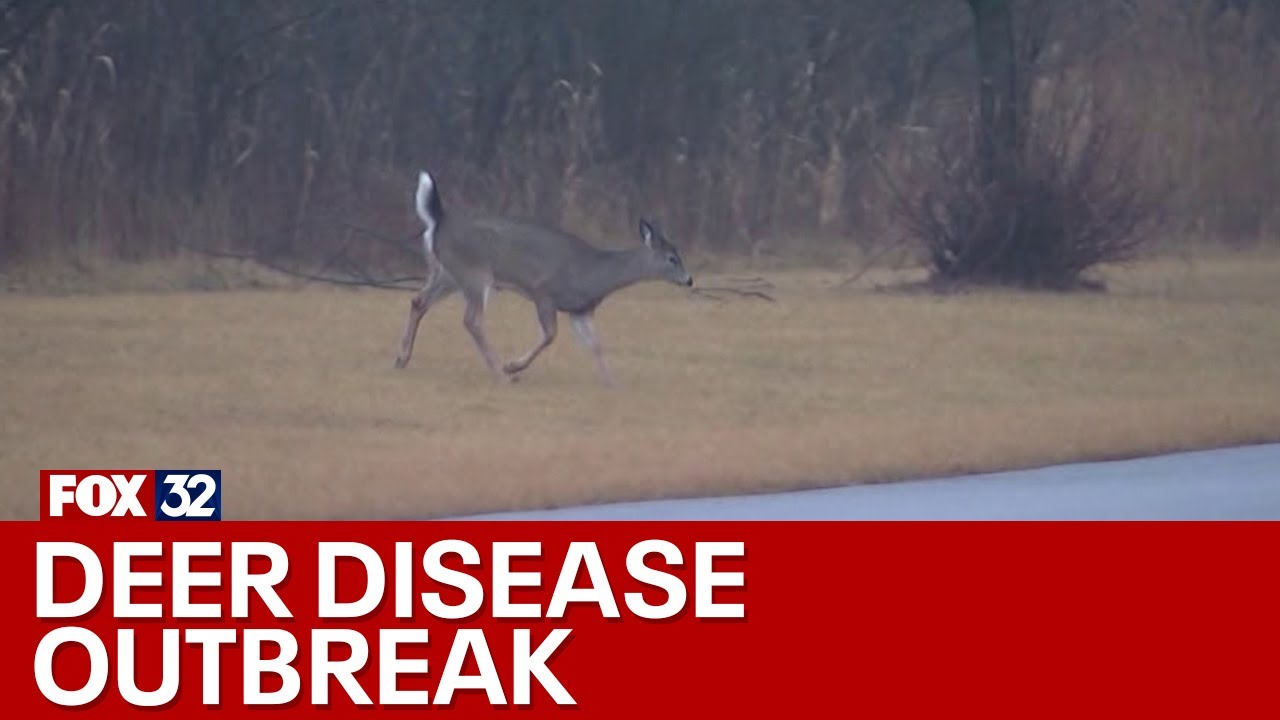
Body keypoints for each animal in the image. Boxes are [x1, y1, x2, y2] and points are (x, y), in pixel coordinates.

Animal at [393, 170, 693, 386]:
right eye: (672, 258)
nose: (689, 279)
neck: (593, 274)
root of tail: (439, 221)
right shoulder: (544, 291)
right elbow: (550, 335)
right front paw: (513, 365)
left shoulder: (580, 310)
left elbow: (595, 344)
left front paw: (612, 381)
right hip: (474, 273)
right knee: (471, 320)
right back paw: (500, 373)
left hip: (447, 273)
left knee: (418, 301)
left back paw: (402, 358)